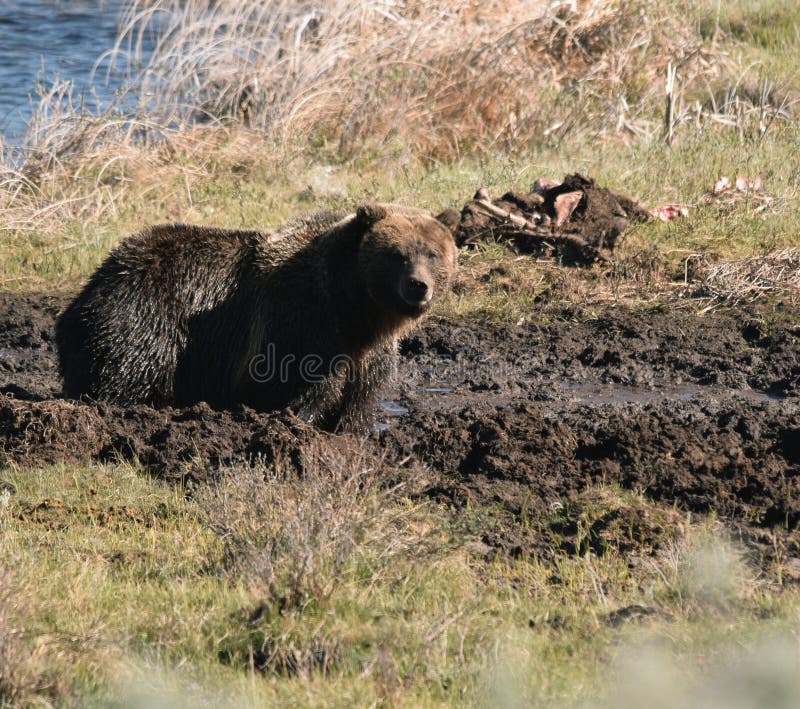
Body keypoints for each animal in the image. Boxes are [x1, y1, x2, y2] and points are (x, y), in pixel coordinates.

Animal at [55, 203, 457, 432]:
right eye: (395, 254)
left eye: (432, 253)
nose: (418, 286)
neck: (357, 311)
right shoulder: (302, 322)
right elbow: (301, 386)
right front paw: (297, 421)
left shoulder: (371, 352)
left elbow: (360, 396)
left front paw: (351, 427)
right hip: (144, 314)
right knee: (126, 368)